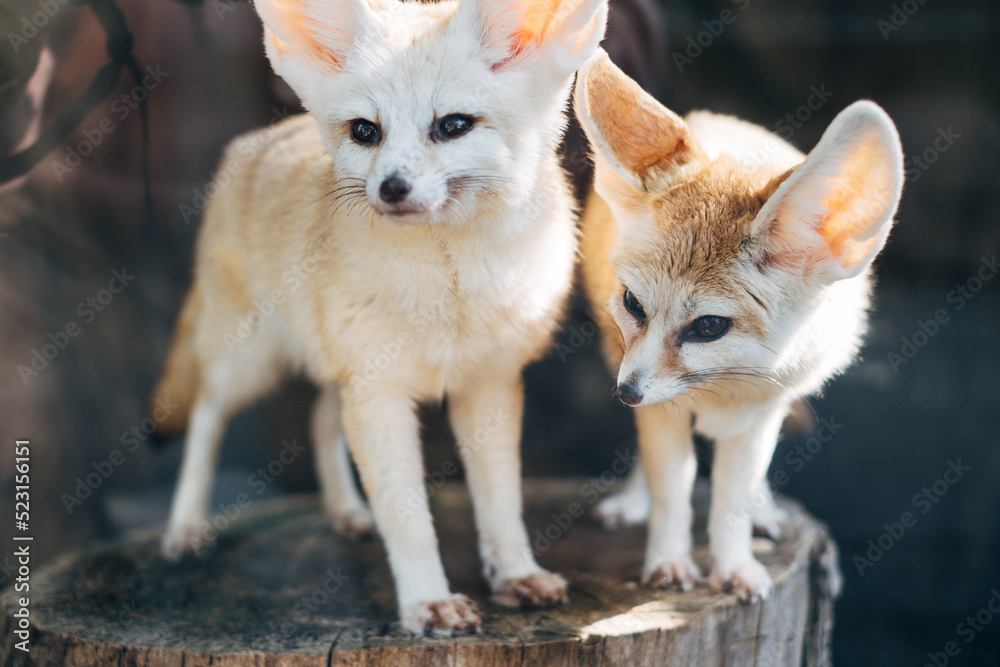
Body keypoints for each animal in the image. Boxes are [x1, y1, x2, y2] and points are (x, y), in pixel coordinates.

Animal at [151, 0, 608, 635]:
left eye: (453, 125)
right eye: (366, 131)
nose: (391, 188)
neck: (450, 296)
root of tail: (256, 140)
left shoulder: (486, 385)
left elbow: (501, 502)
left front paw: (516, 574)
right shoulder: (378, 391)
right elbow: (409, 519)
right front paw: (427, 603)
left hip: (327, 367)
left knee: (319, 418)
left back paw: (346, 511)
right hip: (250, 364)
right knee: (205, 418)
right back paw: (185, 528)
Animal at [573, 50, 904, 600]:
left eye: (709, 327)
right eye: (633, 304)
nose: (626, 393)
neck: (720, 391)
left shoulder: (761, 411)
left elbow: (733, 498)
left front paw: (734, 566)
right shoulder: (659, 407)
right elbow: (673, 489)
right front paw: (669, 562)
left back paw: (765, 512)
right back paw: (634, 501)